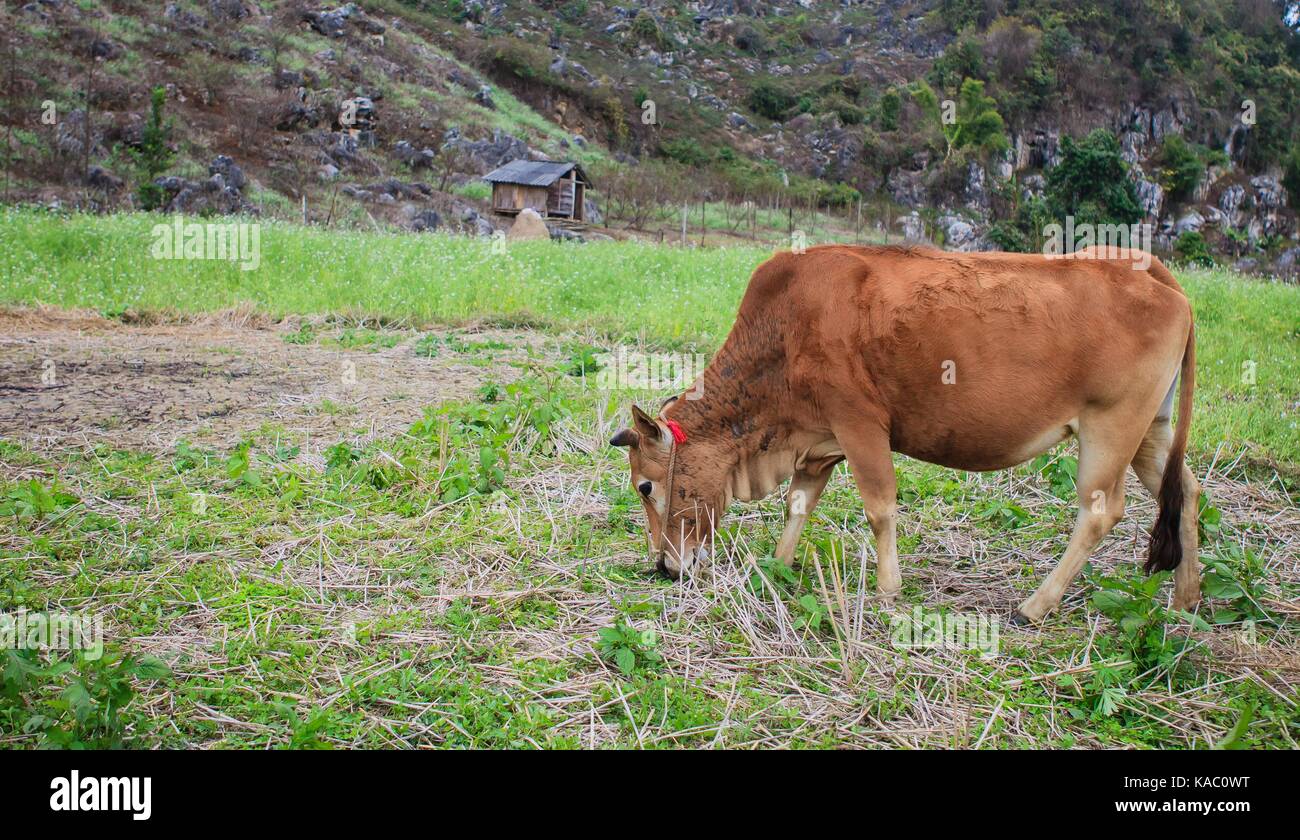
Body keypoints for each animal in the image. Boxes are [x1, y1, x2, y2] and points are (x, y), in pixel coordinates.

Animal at [610, 244, 1199, 624]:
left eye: (645, 486)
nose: (664, 567)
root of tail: (1149, 270)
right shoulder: (818, 441)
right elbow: (798, 503)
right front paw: (778, 566)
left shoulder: (860, 424)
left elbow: (879, 507)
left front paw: (888, 589)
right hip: (1150, 430)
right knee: (1187, 492)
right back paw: (1185, 599)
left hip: (1110, 426)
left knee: (1100, 511)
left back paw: (1034, 607)